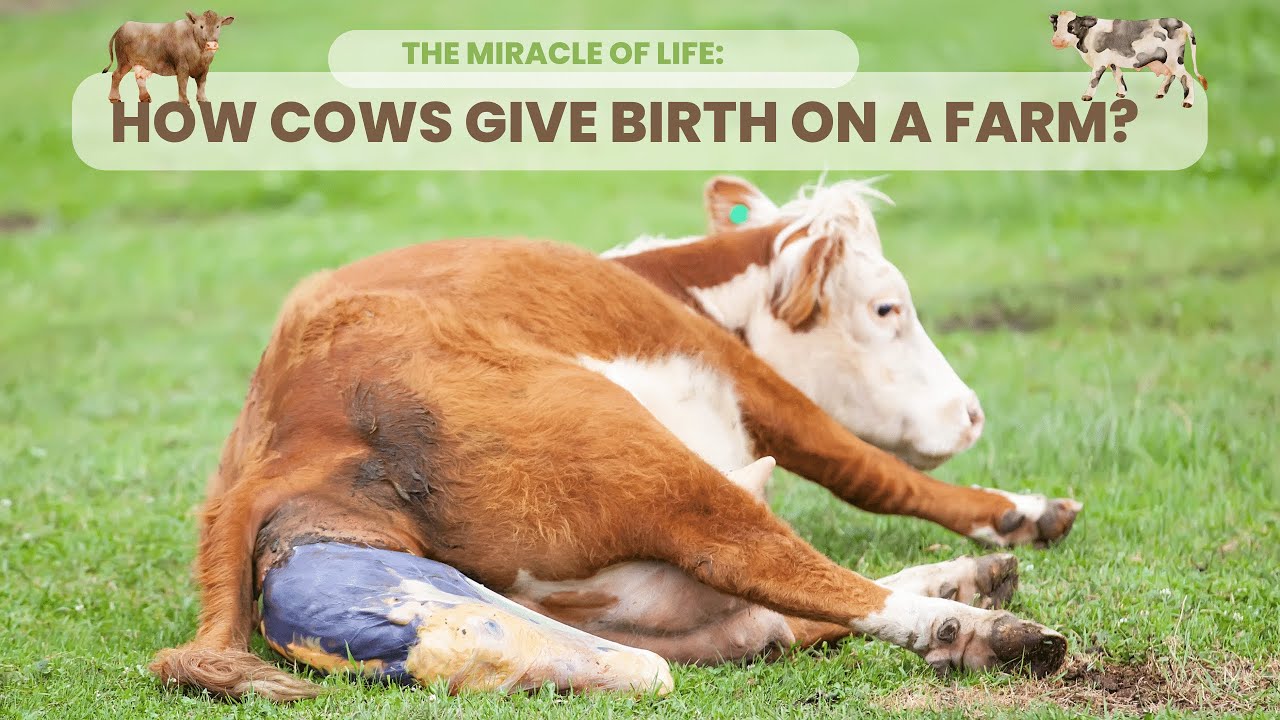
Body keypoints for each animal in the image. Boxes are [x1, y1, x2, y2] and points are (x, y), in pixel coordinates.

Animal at [102, 10, 235, 105]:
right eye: (201, 26)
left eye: (218, 26)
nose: (211, 44)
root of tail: (123, 26)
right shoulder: (182, 67)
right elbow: (182, 83)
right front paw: (184, 102)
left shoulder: (205, 68)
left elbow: (201, 84)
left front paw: (203, 99)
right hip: (124, 61)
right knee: (116, 75)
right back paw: (114, 98)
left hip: (139, 63)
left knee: (139, 78)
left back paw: (145, 98)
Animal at [149, 179, 1079, 701]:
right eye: (887, 308)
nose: (971, 414)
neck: (673, 282)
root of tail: (284, 432)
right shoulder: (751, 382)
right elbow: (870, 470)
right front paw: (1015, 511)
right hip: (625, 443)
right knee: (752, 558)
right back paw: (967, 630)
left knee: (717, 630)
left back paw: (969, 599)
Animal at [1050, 11, 1206, 108]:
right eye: (1055, 26)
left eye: (1071, 27)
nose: (1055, 40)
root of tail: (1180, 22)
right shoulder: (1112, 62)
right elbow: (1118, 76)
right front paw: (1121, 94)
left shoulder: (1100, 62)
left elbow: (1094, 79)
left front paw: (1086, 96)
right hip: (1168, 60)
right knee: (1171, 75)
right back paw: (1160, 94)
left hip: (1174, 59)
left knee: (1187, 77)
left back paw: (1187, 103)